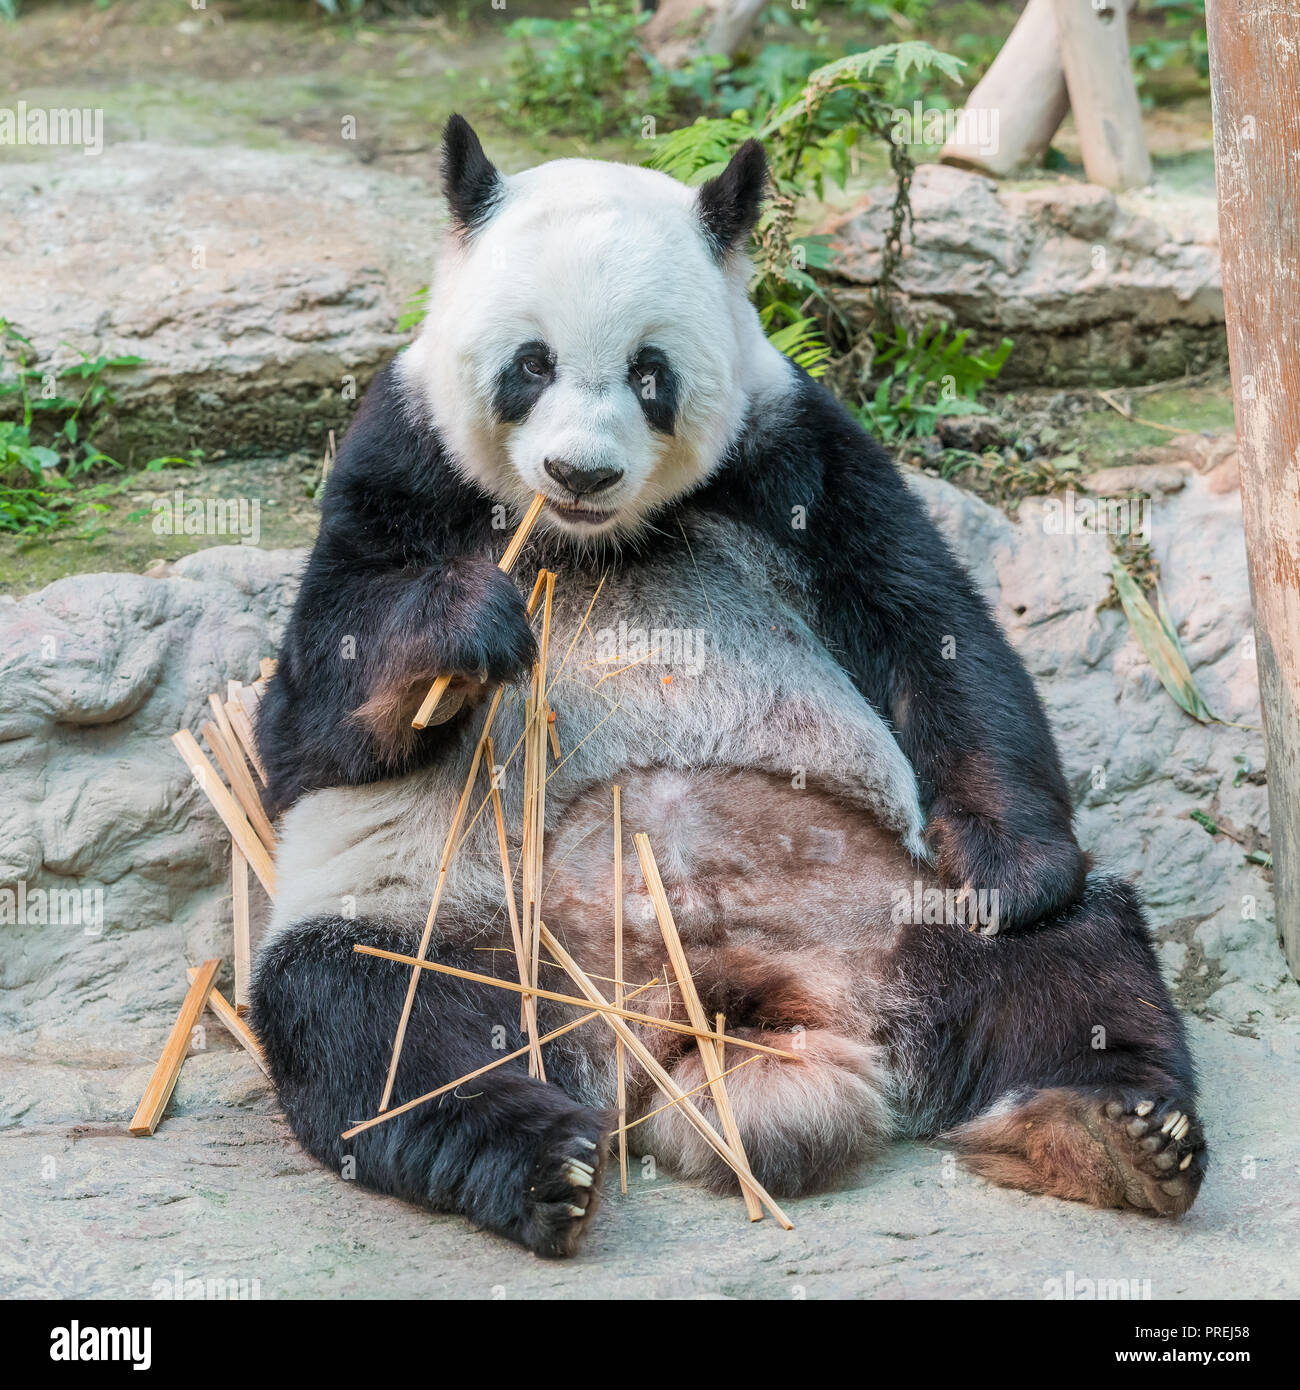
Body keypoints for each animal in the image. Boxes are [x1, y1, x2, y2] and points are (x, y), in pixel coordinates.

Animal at [251, 115, 1205, 1257]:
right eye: (531, 362)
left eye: (648, 372)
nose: (578, 474)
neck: (593, 542)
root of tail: (704, 1011)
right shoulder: (399, 460)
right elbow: (305, 721)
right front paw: (463, 632)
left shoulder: (791, 447)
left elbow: (932, 628)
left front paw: (1012, 868)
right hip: (472, 929)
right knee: (371, 1022)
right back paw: (541, 1166)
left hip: (888, 903)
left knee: (1076, 956)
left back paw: (1113, 1133)